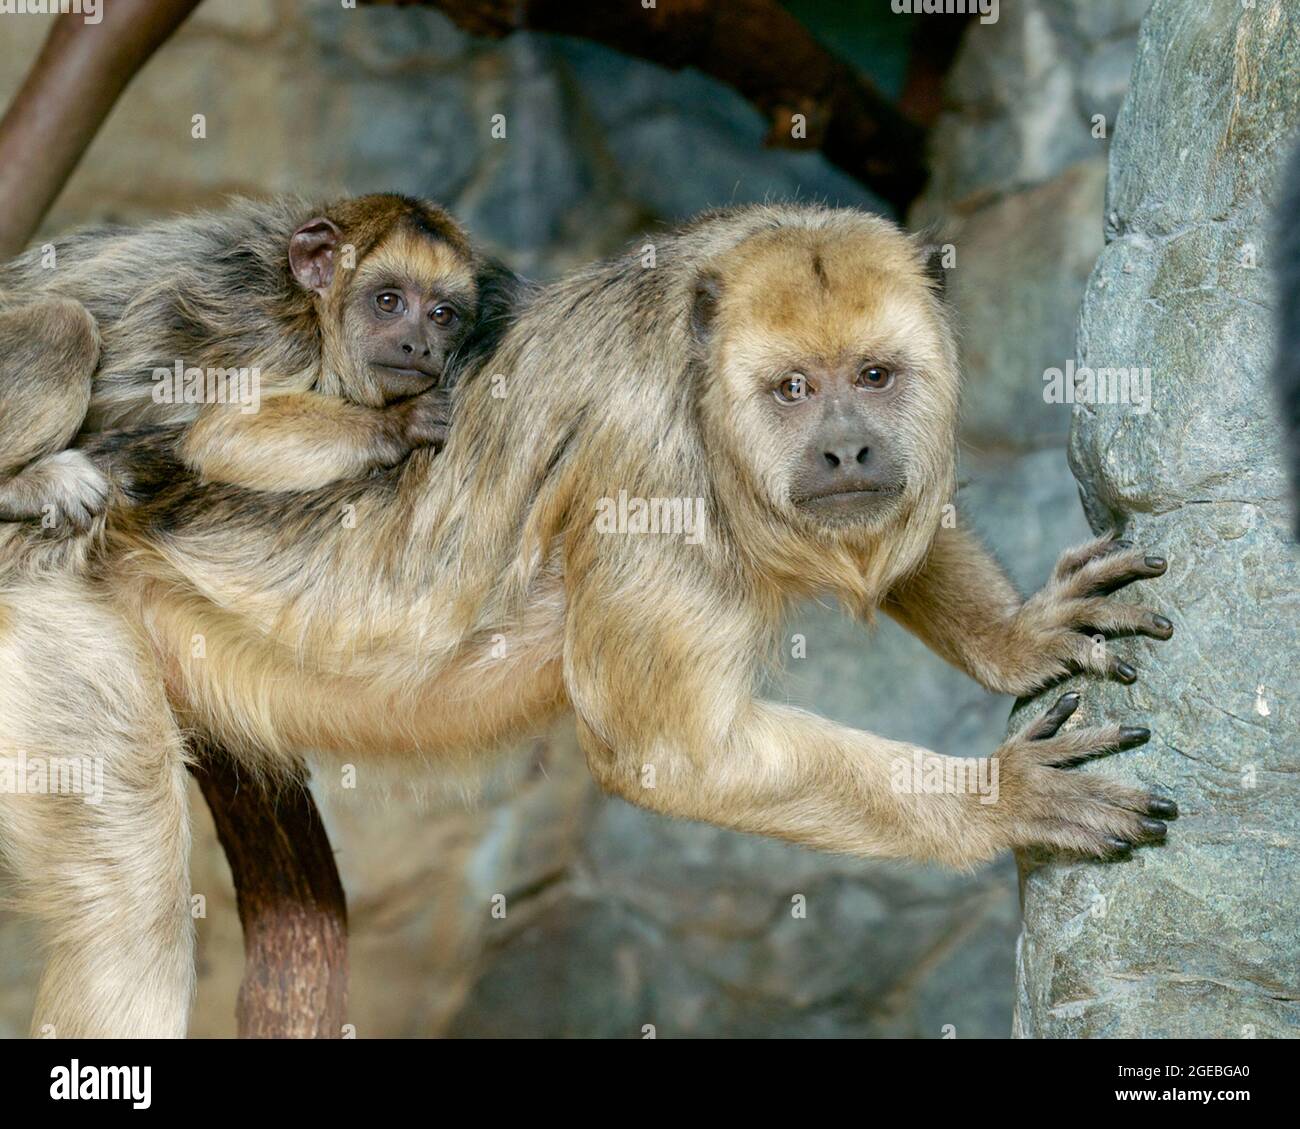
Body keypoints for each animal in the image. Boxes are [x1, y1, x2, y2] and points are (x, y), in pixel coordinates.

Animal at [0, 193, 520, 529]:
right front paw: (401, 422)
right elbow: (221, 436)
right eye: (388, 302)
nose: (418, 346)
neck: (310, 307)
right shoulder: (276, 333)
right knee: (64, 324)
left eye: (442, 315)